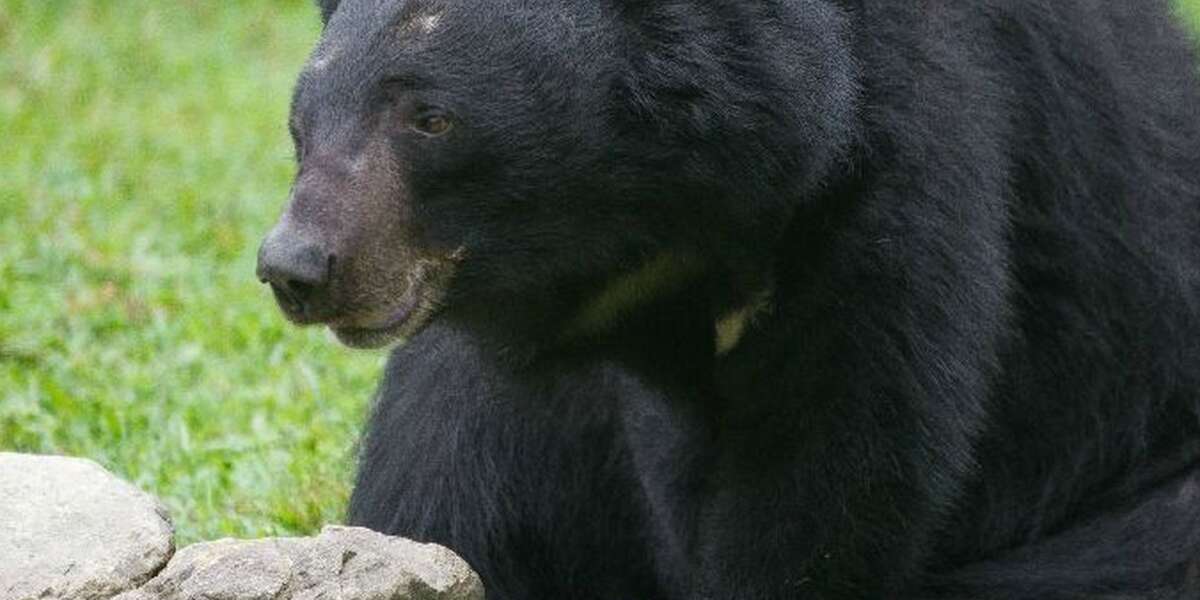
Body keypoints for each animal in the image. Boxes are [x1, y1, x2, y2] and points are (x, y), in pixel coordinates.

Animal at [258, 0, 1200, 595]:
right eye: (303, 123)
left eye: (431, 118)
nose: (295, 266)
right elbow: (450, 469)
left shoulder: (899, 168)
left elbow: (832, 463)